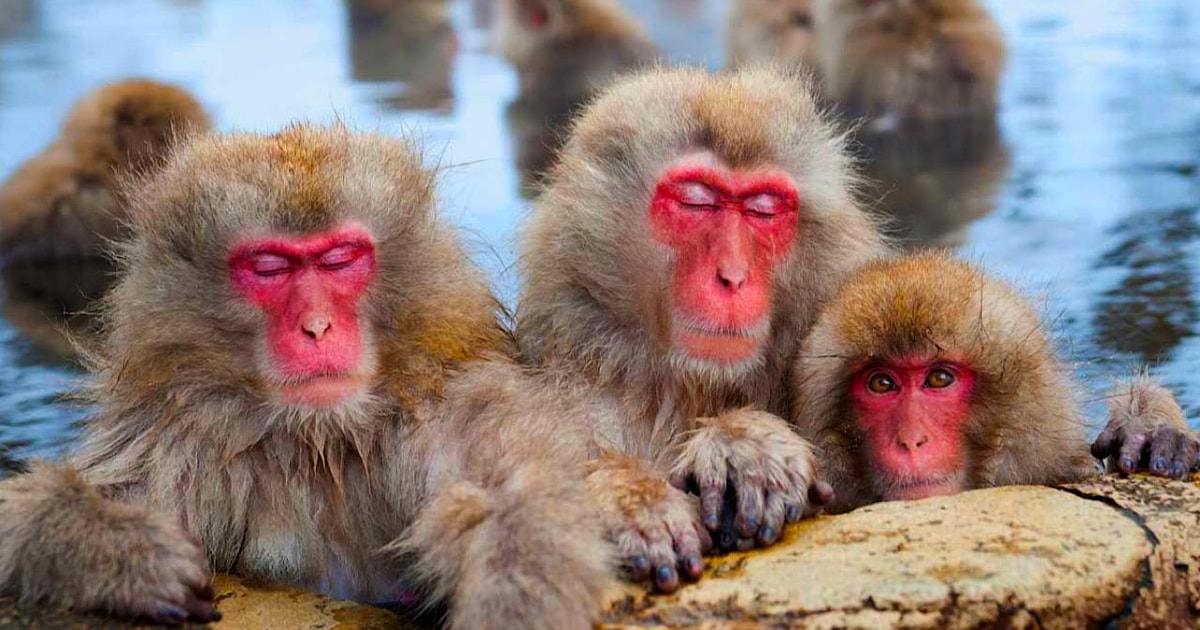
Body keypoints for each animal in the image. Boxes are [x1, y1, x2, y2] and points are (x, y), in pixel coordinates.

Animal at [0, 124, 611, 629]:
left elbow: (514, 495)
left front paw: (512, 603)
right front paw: (120, 551)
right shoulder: (176, 442)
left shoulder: (451, 410)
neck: (322, 443)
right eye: (270, 267)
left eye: (340, 258)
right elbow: (22, 513)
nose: (317, 327)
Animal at [514, 65, 889, 592]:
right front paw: (631, 498)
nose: (732, 276)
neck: (688, 387)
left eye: (763, 209)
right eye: (697, 203)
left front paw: (745, 444)